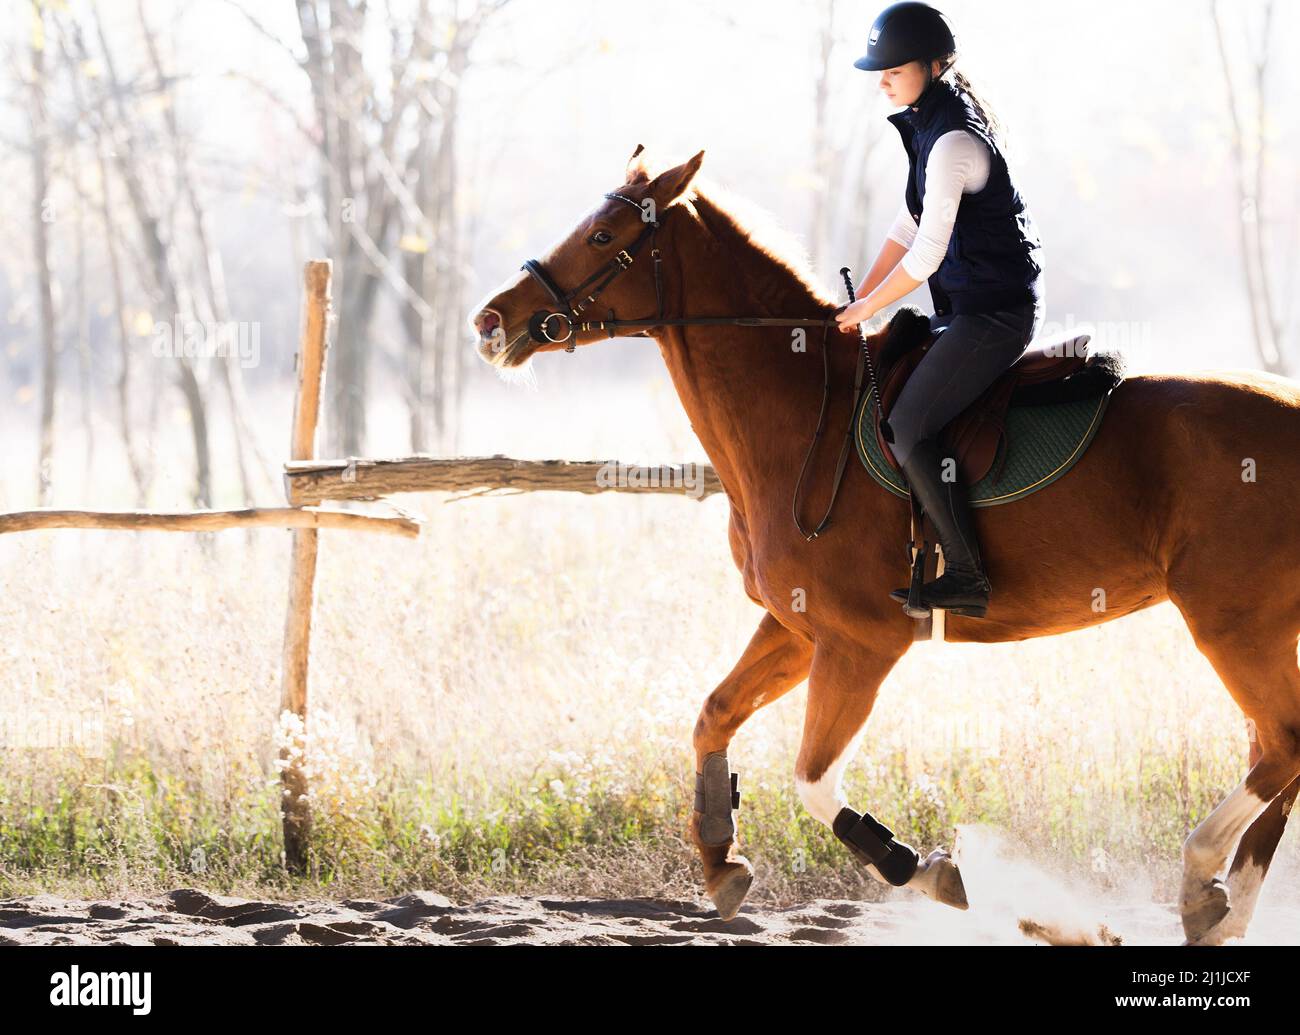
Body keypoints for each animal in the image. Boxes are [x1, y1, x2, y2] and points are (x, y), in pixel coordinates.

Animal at [468, 144, 1300, 945]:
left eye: (602, 235)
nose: (491, 321)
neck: (807, 416)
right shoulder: (798, 628)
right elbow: (713, 714)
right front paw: (719, 855)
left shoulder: (859, 644)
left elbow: (811, 778)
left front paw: (924, 867)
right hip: (1257, 627)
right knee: (1275, 749)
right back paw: (1222, 906)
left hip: (1234, 625)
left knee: (1282, 743)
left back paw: (1199, 878)